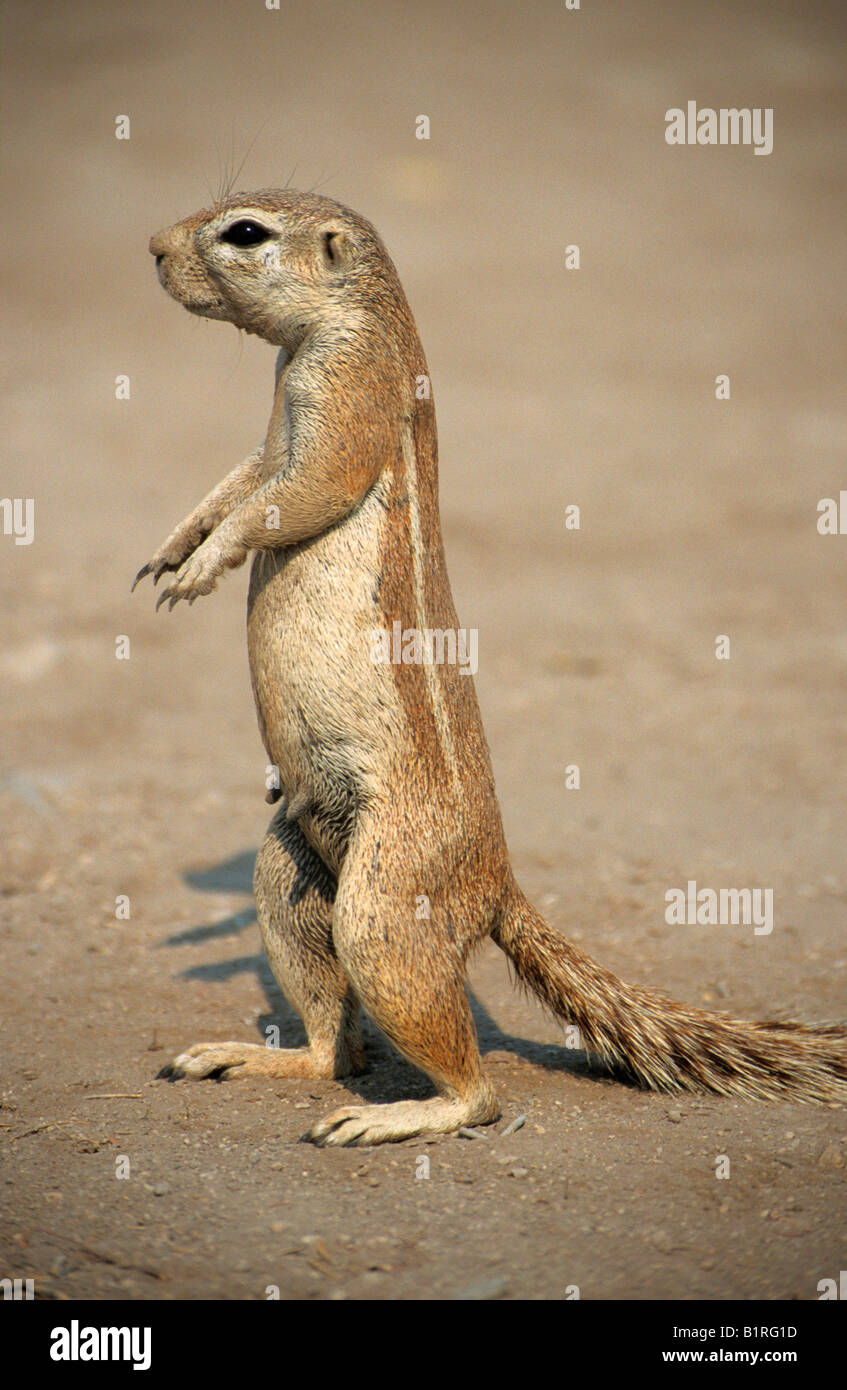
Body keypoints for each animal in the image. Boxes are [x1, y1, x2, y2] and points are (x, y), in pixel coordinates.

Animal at [135, 190, 847, 1145]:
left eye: (244, 232)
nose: (153, 248)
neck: (334, 327)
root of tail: (495, 884)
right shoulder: (267, 434)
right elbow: (235, 481)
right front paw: (173, 549)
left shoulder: (347, 399)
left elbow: (293, 494)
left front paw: (203, 567)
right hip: (289, 870)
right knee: (334, 1047)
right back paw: (254, 1057)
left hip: (388, 900)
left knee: (472, 1087)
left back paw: (398, 1117)